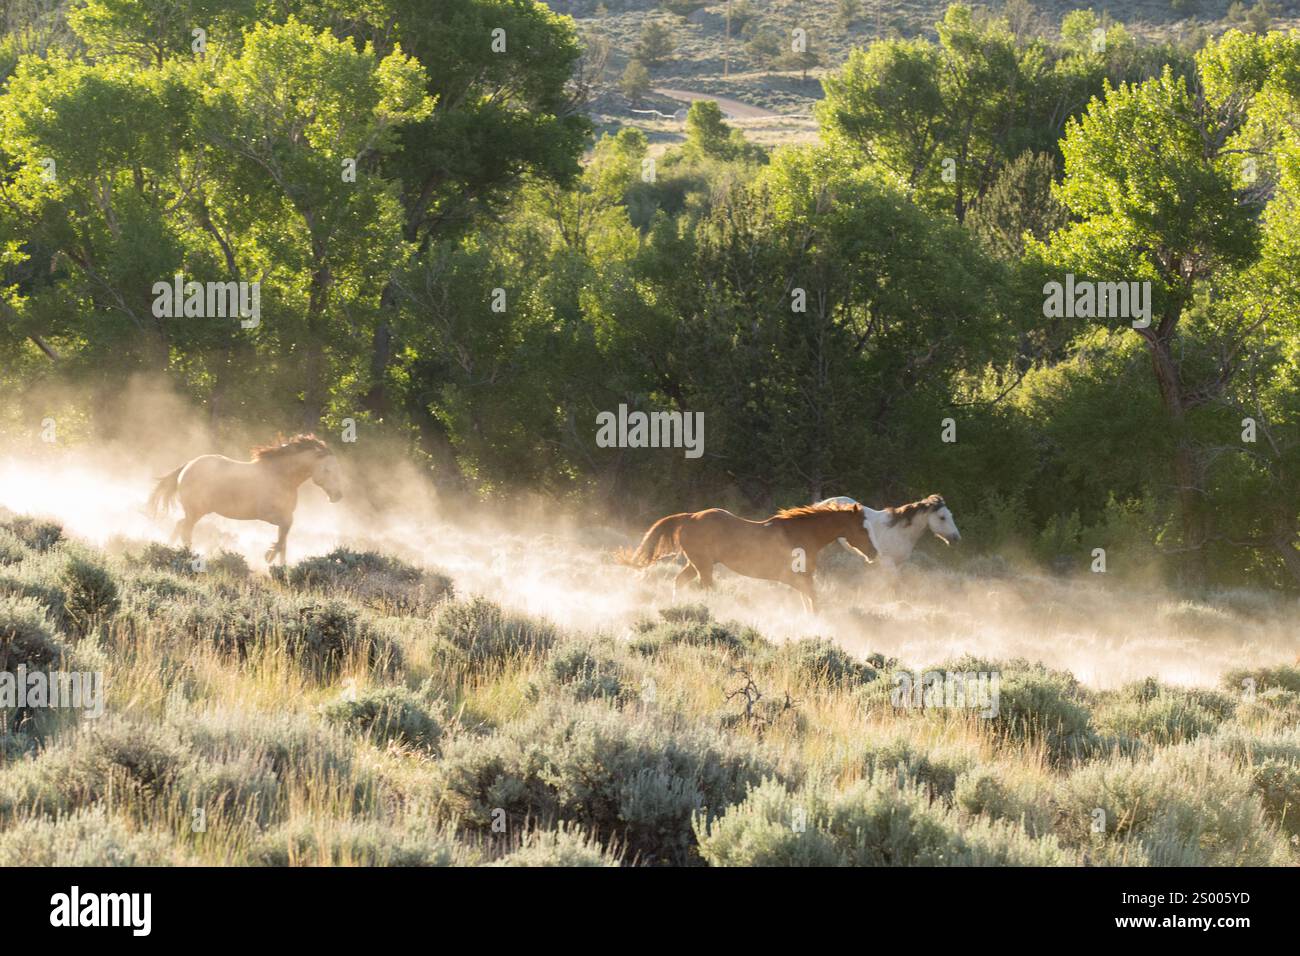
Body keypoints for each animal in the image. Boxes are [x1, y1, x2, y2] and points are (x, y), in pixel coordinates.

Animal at [146, 434, 344, 566]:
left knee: (180, 525)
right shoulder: (269, 515)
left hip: (195, 512)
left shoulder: (284, 515)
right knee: (185, 530)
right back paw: (189, 555)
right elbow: (285, 531)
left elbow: (284, 538)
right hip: (196, 511)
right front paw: (269, 556)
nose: (337, 496)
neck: (281, 476)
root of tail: (187, 466)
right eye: (327, 470)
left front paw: (280, 567)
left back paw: (170, 549)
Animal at [617, 500, 880, 612]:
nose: (873, 554)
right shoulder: (795, 578)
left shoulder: (802, 579)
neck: (801, 534)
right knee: (706, 588)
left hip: (696, 564)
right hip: (703, 566)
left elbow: (810, 602)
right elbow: (813, 602)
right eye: (862, 528)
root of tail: (688, 517)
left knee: (678, 582)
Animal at [816, 494, 961, 570]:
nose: (956, 538)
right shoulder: (888, 563)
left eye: (951, 515)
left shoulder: (898, 564)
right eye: (942, 517)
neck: (899, 532)